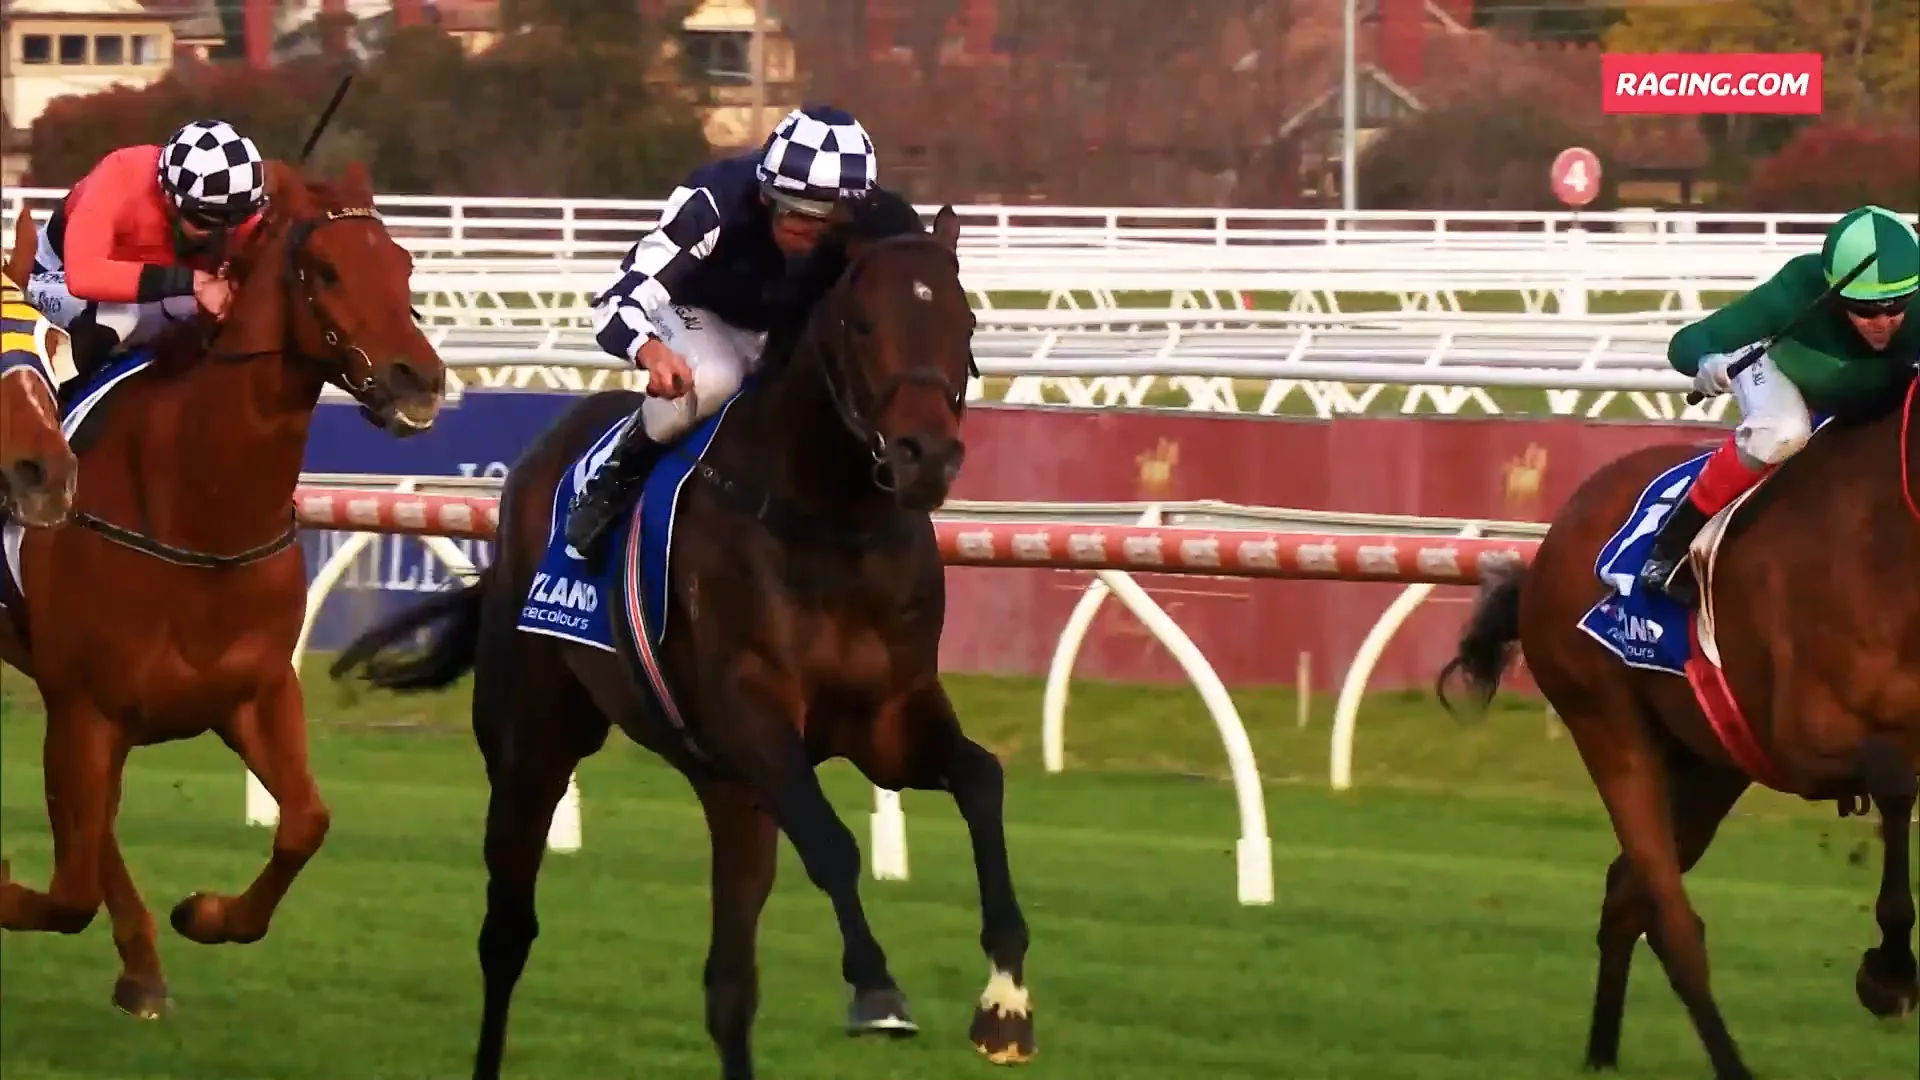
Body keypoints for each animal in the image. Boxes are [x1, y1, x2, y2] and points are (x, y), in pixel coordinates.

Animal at [0, 158, 445, 1021]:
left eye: (405, 264)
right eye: (327, 270)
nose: (421, 379)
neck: (200, 512)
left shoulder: (255, 692)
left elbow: (306, 822)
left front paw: (205, 915)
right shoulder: (86, 708)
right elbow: (68, 887)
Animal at [330, 191, 1036, 1080]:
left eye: (964, 320)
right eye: (862, 323)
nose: (927, 459)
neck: (828, 523)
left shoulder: (887, 720)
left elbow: (982, 781)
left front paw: (1006, 998)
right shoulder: (752, 714)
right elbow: (834, 843)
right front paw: (875, 986)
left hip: (729, 791)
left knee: (728, 988)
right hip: (533, 743)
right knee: (506, 934)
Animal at [1436, 364, 1919, 1080]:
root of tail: (1552, 542)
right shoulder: (1801, 743)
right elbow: (1892, 780)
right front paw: (1889, 973)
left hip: (1709, 767)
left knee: (1624, 893)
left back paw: (1601, 1056)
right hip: (1609, 726)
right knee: (1671, 919)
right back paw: (1729, 1064)